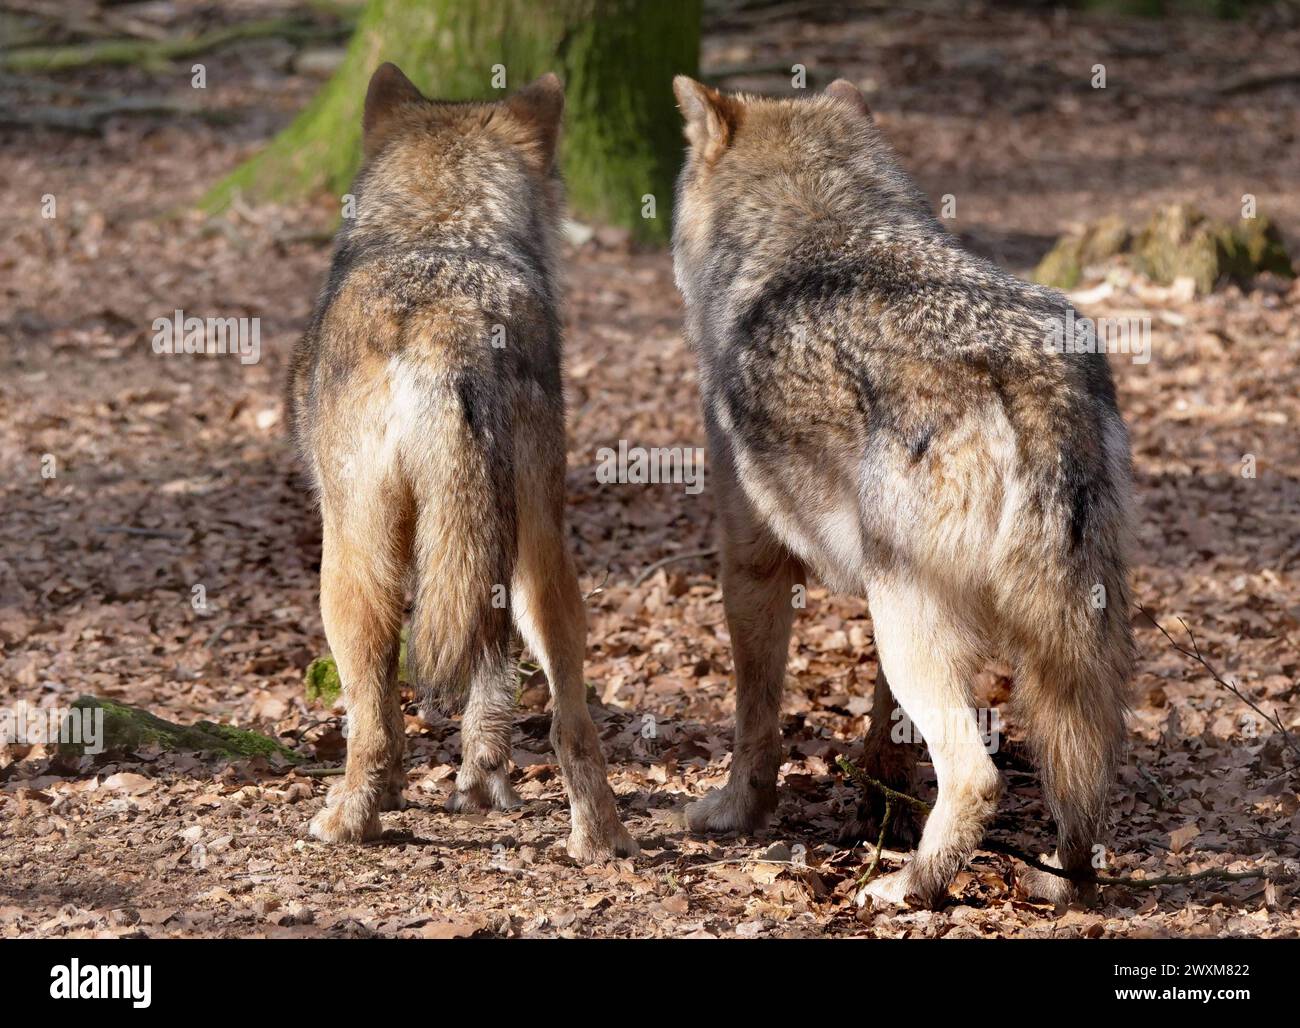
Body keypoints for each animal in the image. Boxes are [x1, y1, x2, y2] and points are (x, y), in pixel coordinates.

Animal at [288, 64, 636, 862]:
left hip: (350, 566)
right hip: (542, 556)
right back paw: (598, 839)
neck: (444, 229)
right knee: (570, 718)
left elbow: (386, 706)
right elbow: (492, 682)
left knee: (372, 718)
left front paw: (393, 795)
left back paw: (348, 820)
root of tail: (451, 326)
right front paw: (481, 786)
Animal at [671, 76, 1133, 907]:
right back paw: (1062, 882)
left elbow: (756, 718)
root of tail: (1025, 374)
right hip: (1055, 638)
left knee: (978, 777)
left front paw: (733, 812)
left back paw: (911, 885)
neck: (815, 222)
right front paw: (876, 807)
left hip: (913, 619)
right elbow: (884, 729)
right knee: (1085, 766)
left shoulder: (750, 564)